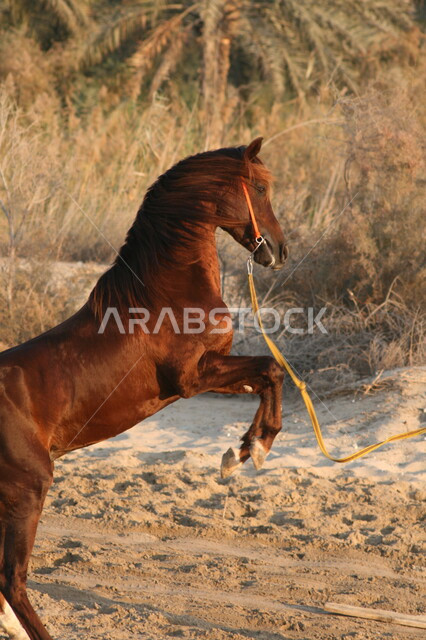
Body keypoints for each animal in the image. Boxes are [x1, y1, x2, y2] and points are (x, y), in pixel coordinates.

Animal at [0, 137, 287, 640]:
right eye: (259, 187)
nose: (279, 249)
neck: (166, 291)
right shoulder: (194, 378)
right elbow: (270, 368)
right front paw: (252, 450)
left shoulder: (206, 375)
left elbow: (268, 374)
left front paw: (244, 451)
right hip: (28, 489)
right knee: (13, 580)